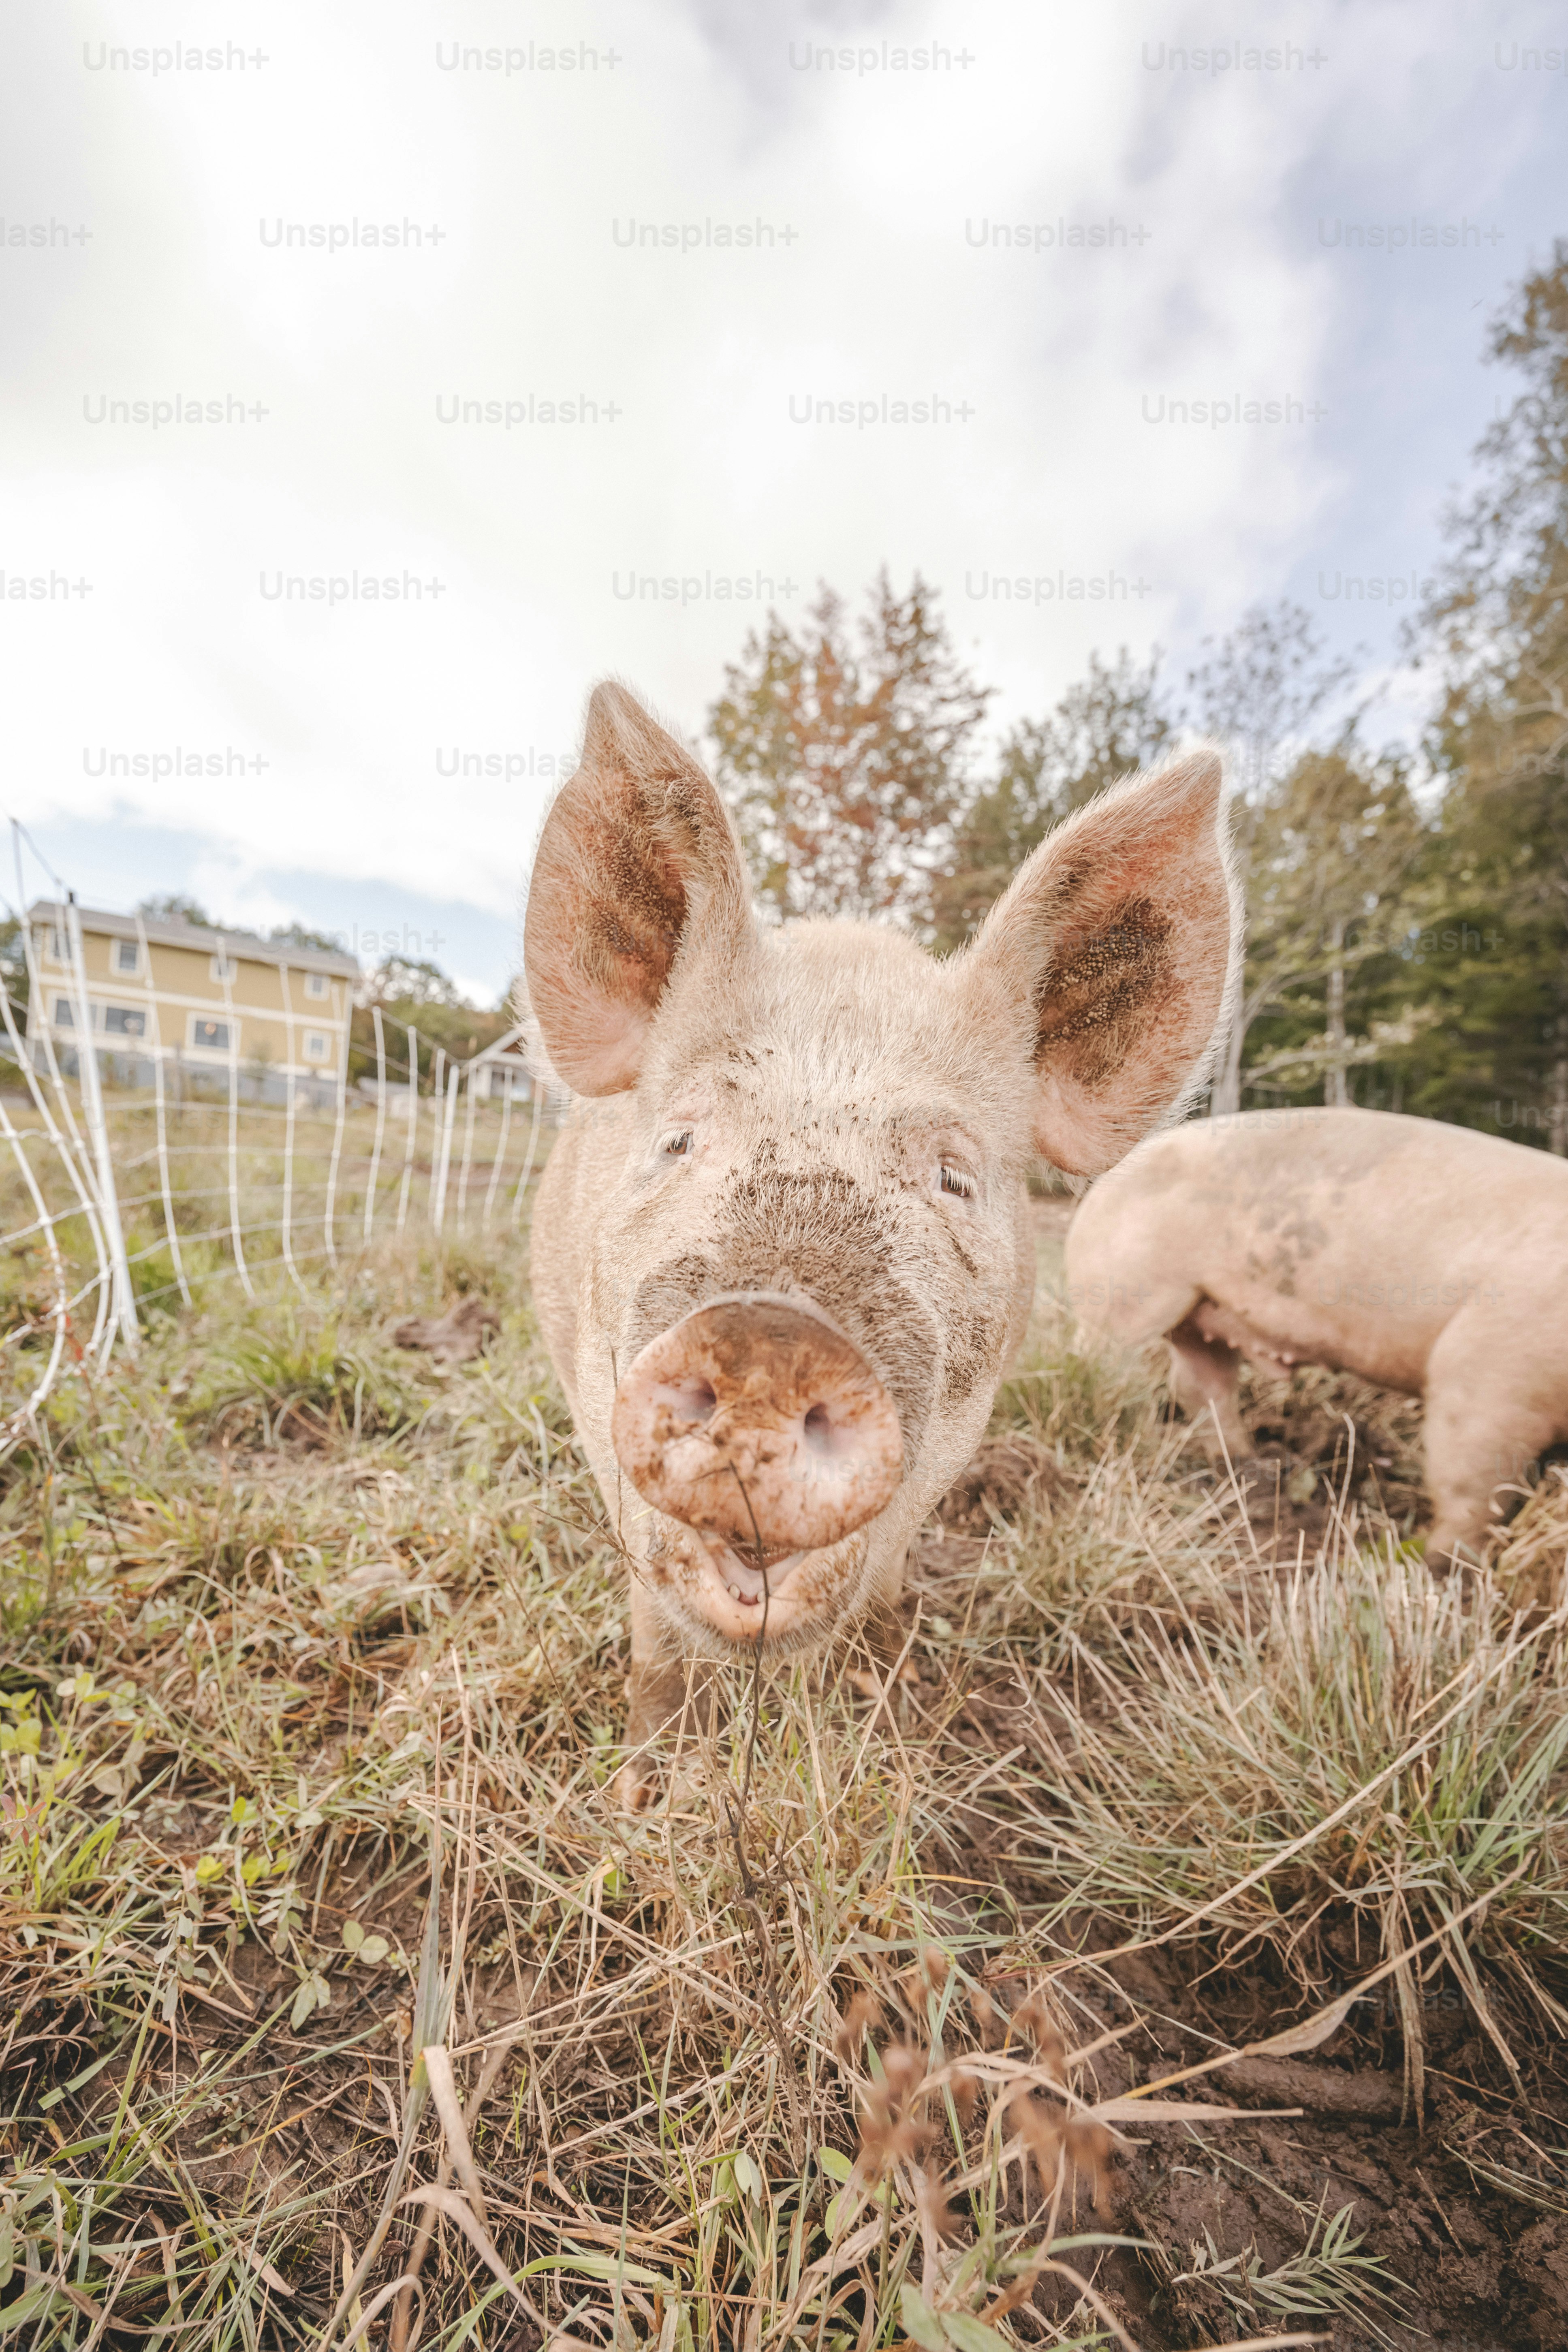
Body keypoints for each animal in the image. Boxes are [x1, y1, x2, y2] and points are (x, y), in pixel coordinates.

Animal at [523, 680, 1239, 1793]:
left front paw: (875, 1723)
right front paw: (645, 1786)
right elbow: (652, 1620)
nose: (767, 1334)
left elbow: (883, 1597)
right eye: (680, 1137)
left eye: (953, 1176)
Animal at [1062, 1104, 1568, 1565]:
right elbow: (1474, 1481)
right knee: (1100, 1365)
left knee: (1201, 1386)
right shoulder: (1490, 1369)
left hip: (1202, 1315)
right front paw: (1443, 1567)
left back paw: (1248, 1467)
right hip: (1120, 1291)